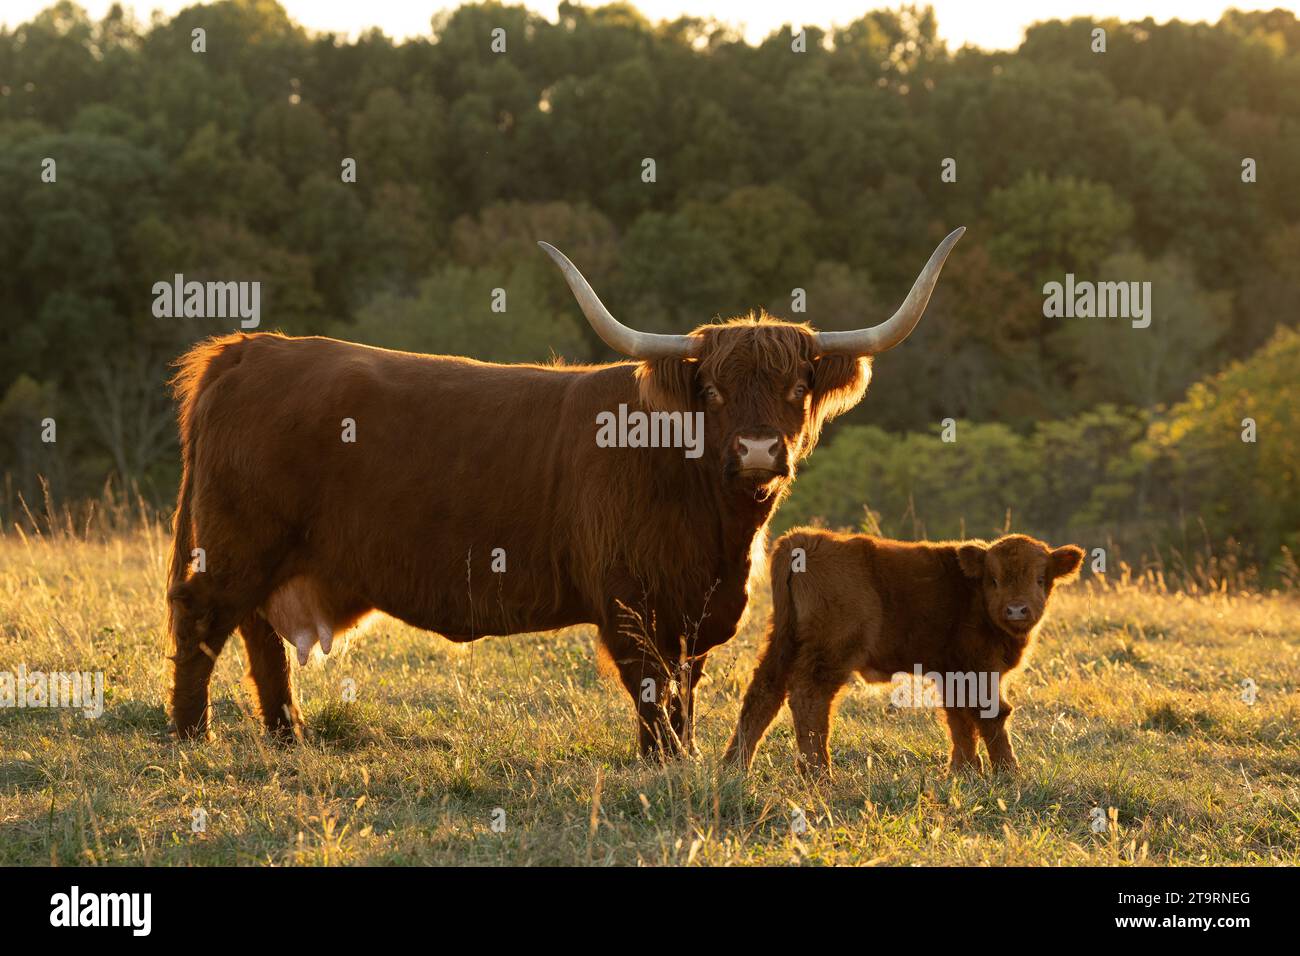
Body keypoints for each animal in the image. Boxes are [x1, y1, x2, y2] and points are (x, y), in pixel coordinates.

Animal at [165, 228, 965, 758]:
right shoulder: (628, 604)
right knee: (201, 620)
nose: (760, 451)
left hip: (267, 558)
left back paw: (287, 737)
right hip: (234, 547)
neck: (715, 528)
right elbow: (653, 692)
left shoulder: (697, 614)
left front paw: (683, 758)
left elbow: (684, 692)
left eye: (798, 387)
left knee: (260, 637)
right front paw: (663, 765)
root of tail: (248, 349)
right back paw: (192, 737)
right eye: (712, 389)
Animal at [725, 530, 1083, 775]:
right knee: (808, 698)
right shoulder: (980, 669)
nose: (1017, 610)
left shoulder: (952, 673)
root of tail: (805, 539)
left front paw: (964, 772)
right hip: (831, 652)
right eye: (993, 580)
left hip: (783, 640)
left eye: (1041, 578)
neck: (973, 594)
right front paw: (1008, 773)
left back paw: (735, 768)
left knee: (763, 694)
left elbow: (959, 720)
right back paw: (819, 774)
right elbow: (991, 713)